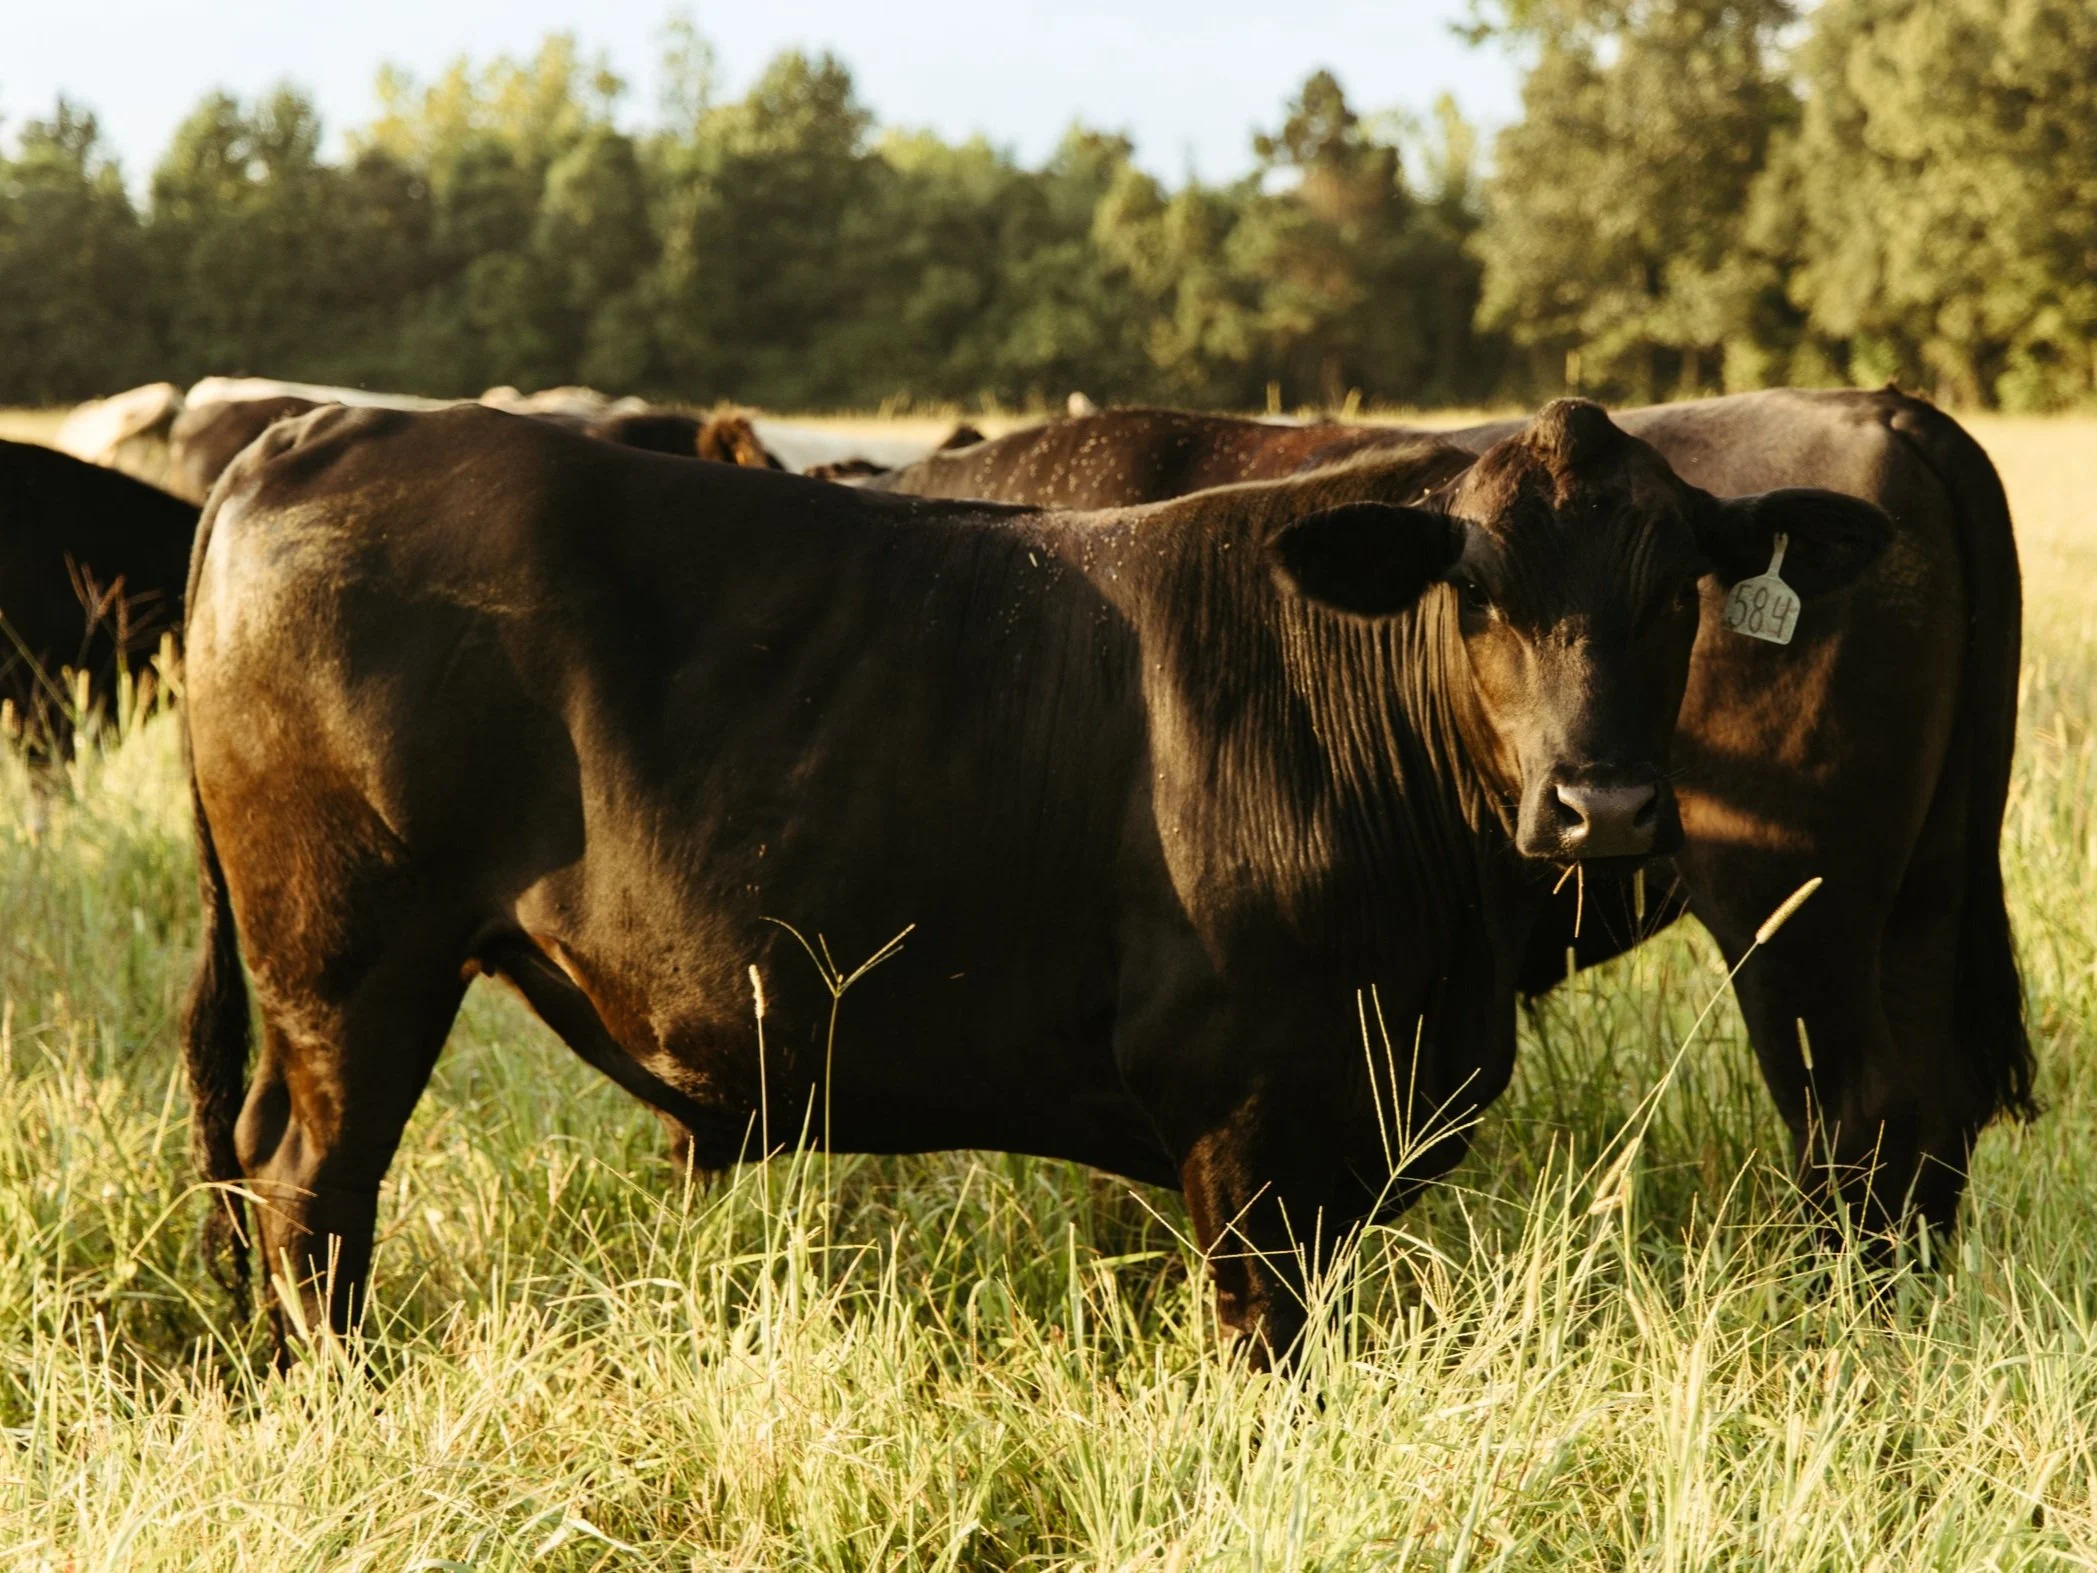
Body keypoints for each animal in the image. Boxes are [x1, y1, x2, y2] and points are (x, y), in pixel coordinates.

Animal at [179, 399, 1887, 1365]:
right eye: (1473, 588)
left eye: (1678, 587)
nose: (1602, 804)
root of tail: (303, 442)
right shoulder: (1254, 1127)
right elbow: (1263, 1352)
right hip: (352, 961)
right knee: (312, 1191)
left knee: (258, 1163)